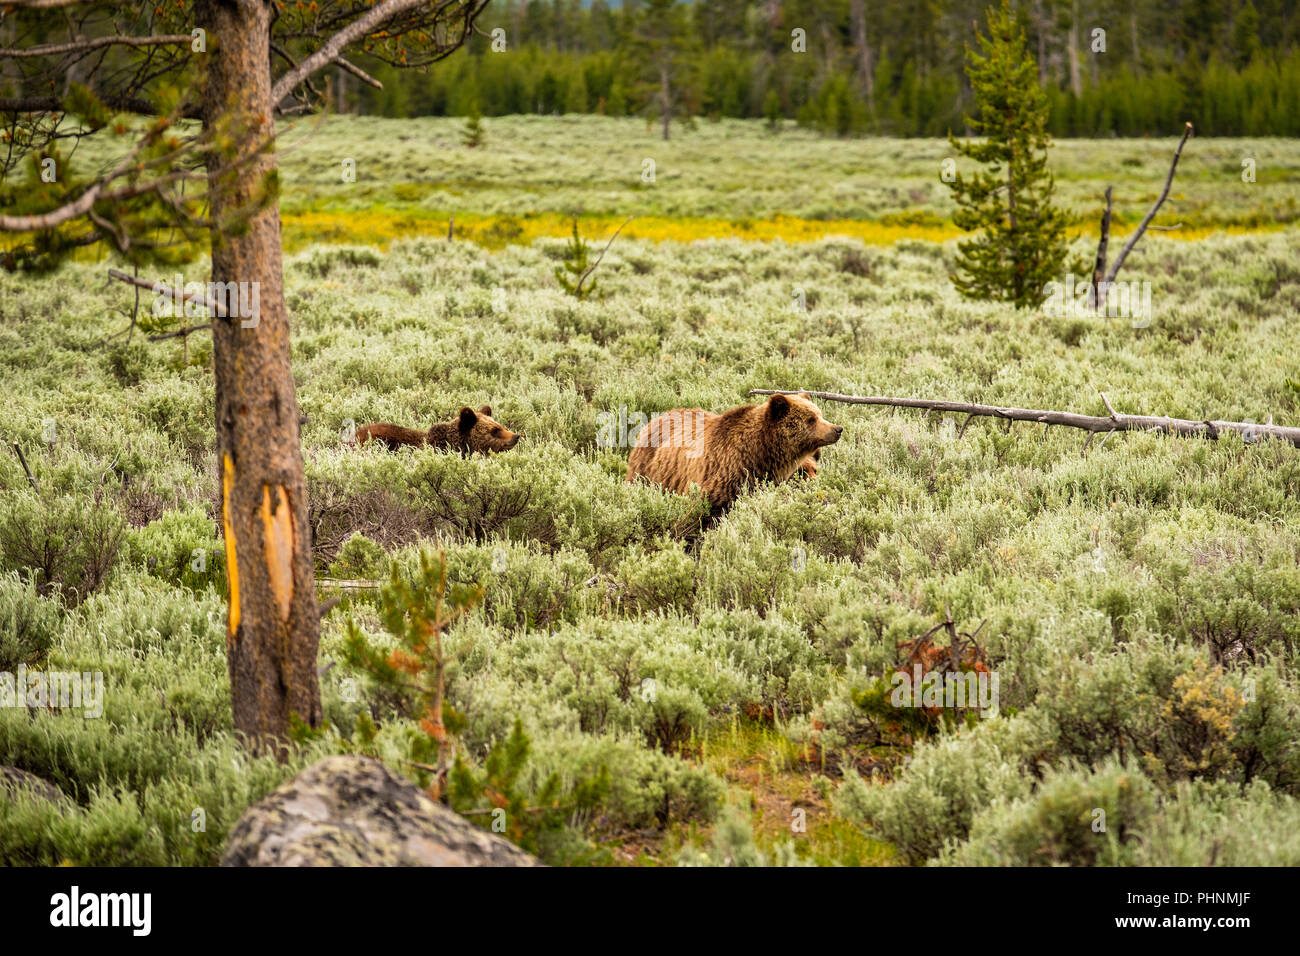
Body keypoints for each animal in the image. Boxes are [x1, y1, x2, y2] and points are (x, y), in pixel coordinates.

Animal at [626, 392, 842, 512]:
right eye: (811, 419)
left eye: (820, 414)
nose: (837, 428)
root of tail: (655, 418)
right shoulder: (723, 474)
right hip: (648, 470)